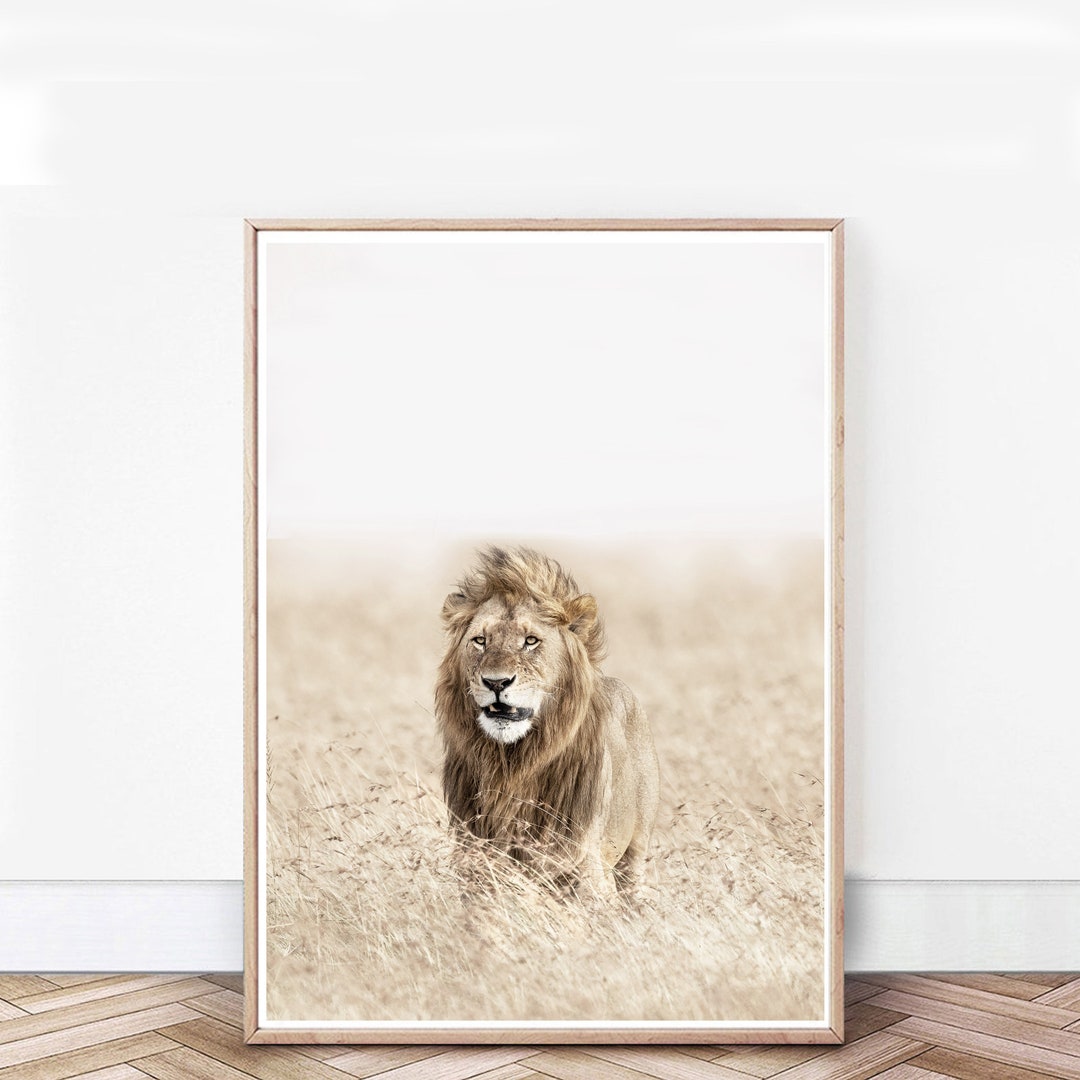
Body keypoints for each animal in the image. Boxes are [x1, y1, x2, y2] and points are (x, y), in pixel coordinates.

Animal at [435, 546, 659, 898]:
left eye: (530, 640)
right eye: (480, 640)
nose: (496, 682)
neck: (512, 764)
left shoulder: (584, 865)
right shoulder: (475, 861)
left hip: (636, 852)